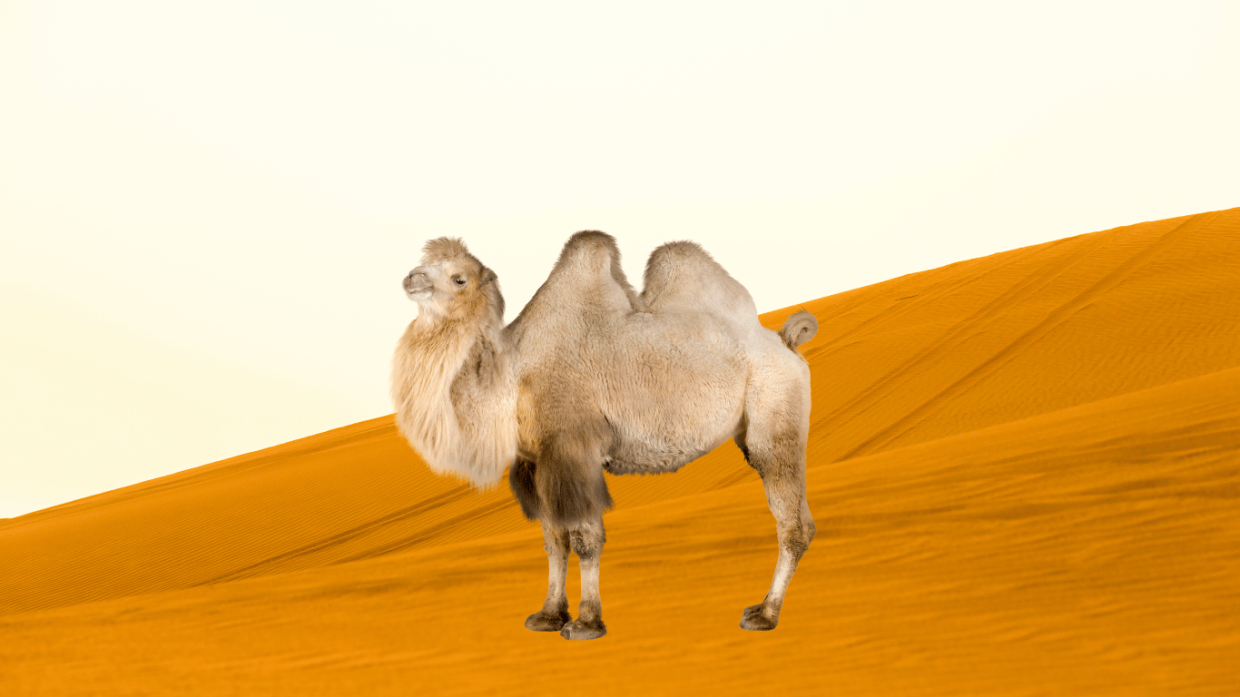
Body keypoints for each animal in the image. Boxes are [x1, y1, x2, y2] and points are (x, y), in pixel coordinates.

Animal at [391, 231, 818, 640]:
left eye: (459, 278)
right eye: (425, 262)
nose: (411, 278)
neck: (512, 375)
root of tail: (787, 341)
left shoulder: (573, 451)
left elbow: (584, 539)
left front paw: (585, 622)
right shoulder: (537, 461)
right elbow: (554, 540)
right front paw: (548, 615)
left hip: (776, 416)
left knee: (792, 521)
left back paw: (765, 614)